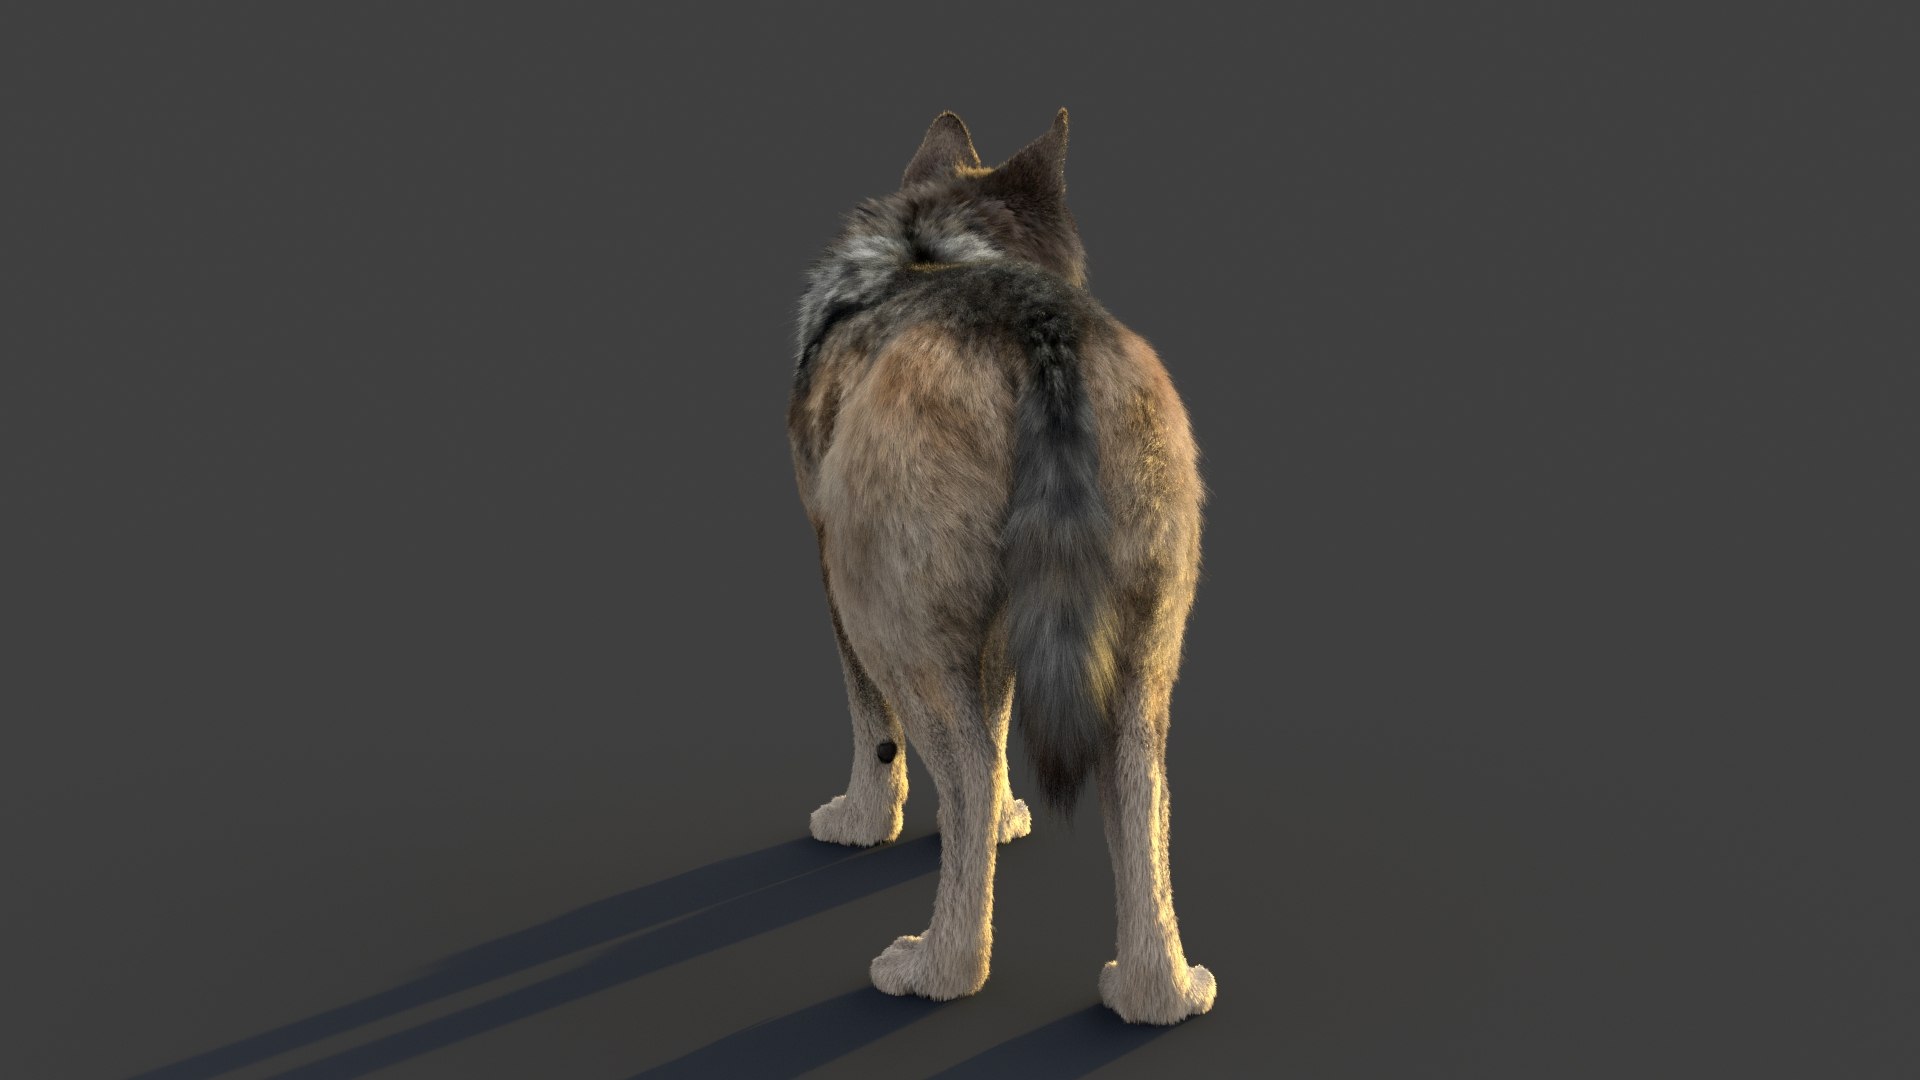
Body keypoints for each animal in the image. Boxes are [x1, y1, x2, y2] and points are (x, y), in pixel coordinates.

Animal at [786, 109, 1215, 1025]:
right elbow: (1002, 715)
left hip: (894, 627)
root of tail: (1040, 327)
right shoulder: (1015, 625)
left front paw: (860, 822)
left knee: (970, 776)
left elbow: (878, 732)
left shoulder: (833, 577)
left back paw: (935, 971)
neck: (942, 244)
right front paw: (1014, 819)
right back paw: (1157, 995)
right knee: (1142, 801)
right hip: (1142, 658)